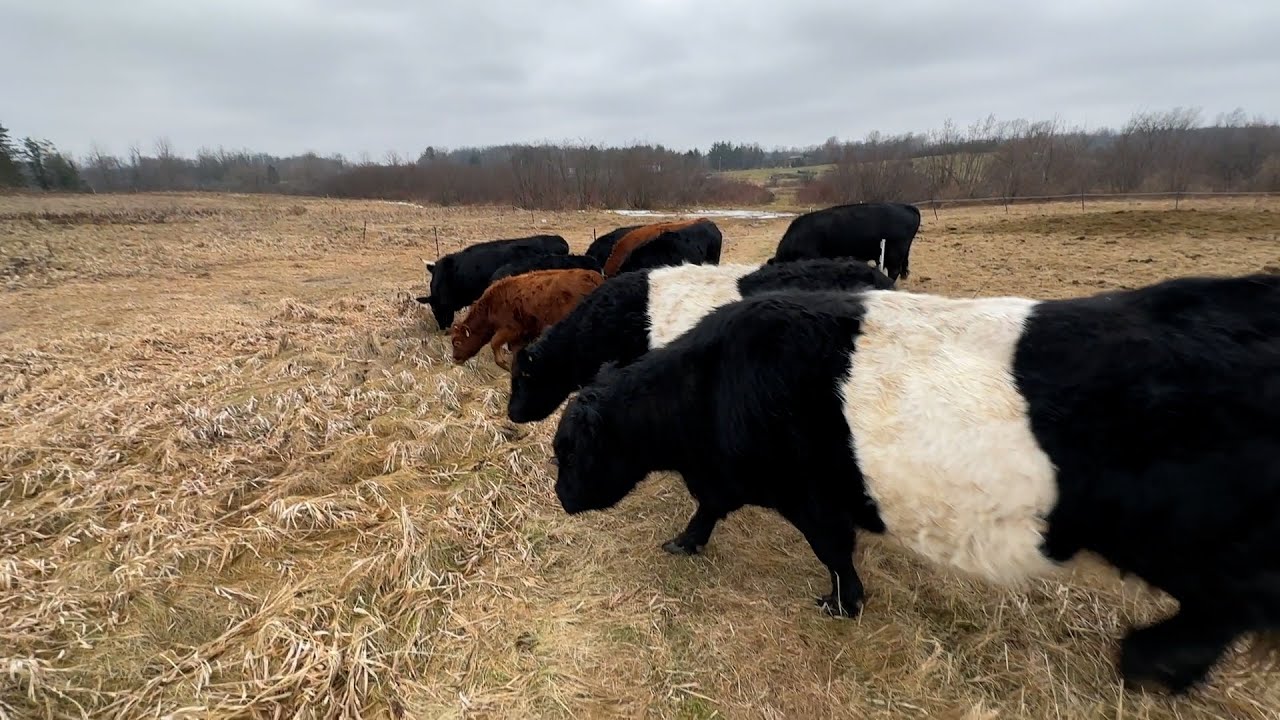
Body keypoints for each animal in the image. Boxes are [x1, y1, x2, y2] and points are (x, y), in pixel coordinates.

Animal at [449, 268, 605, 370]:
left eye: (457, 342)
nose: (455, 358)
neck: (490, 306)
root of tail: (592, 277)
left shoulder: (510, 330)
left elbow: (494, 343)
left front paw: (504, 364)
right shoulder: (520, 338)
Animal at [550, 273, 1280, 695]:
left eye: (567, 449)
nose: (562, 499)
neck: (716, 380)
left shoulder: (811, 498)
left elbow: (833, 552)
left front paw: (841, 605)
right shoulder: (733, 477)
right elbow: (709, 508)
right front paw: (687, 543)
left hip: (1200, 549)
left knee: (1223, 614)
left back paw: (1149, 665)